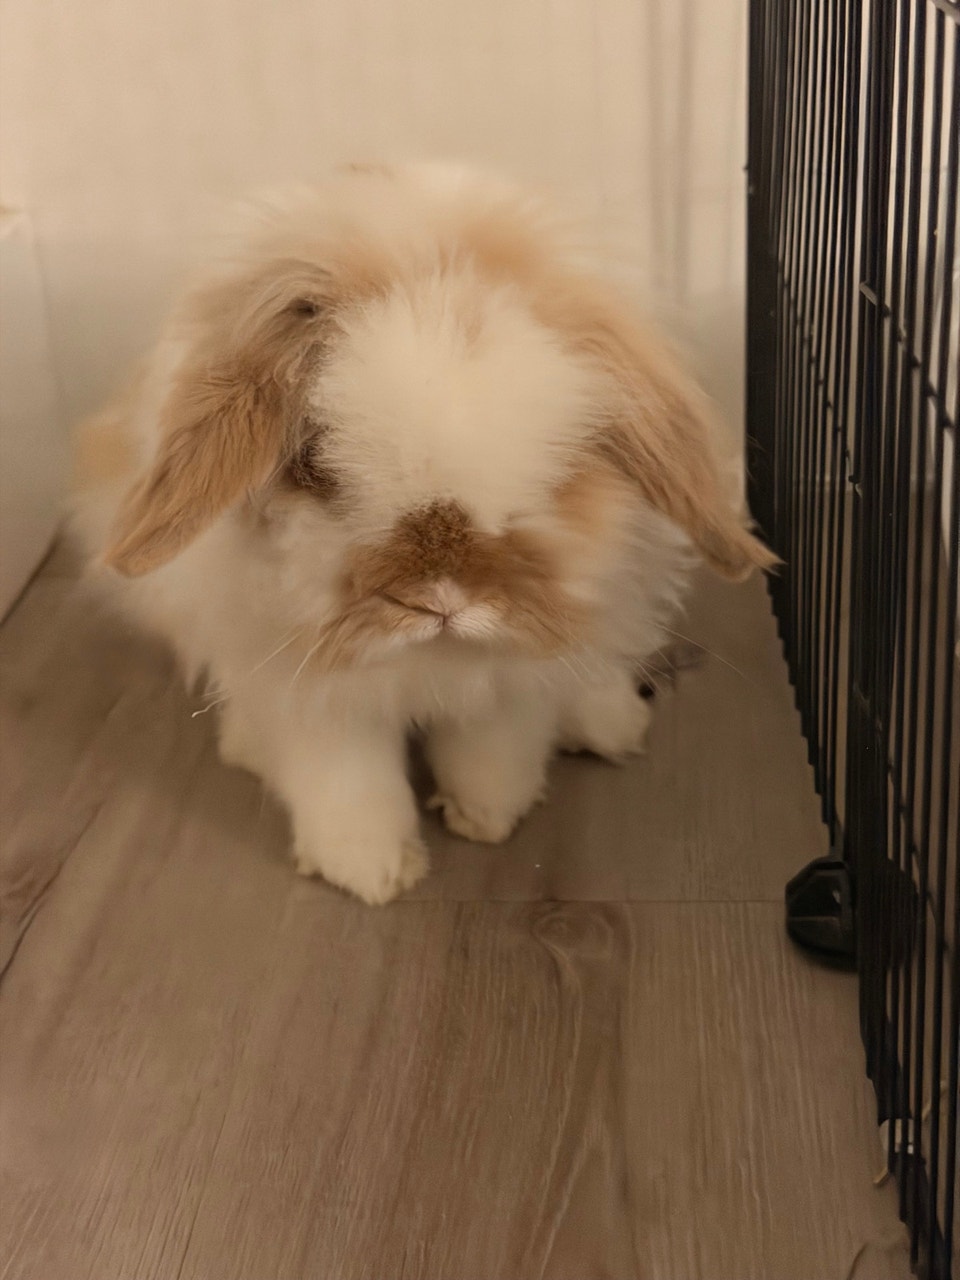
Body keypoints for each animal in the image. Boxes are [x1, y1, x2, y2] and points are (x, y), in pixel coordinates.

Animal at [70, 162, 775, 904]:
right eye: (315, 465)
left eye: (558, 463)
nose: (440, 598)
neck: (432, 662)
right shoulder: (310, 694)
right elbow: (345, 783)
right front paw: (371, 872)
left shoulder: (514, 675)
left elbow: (495, 750)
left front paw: (487, 817)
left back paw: (608, 722)